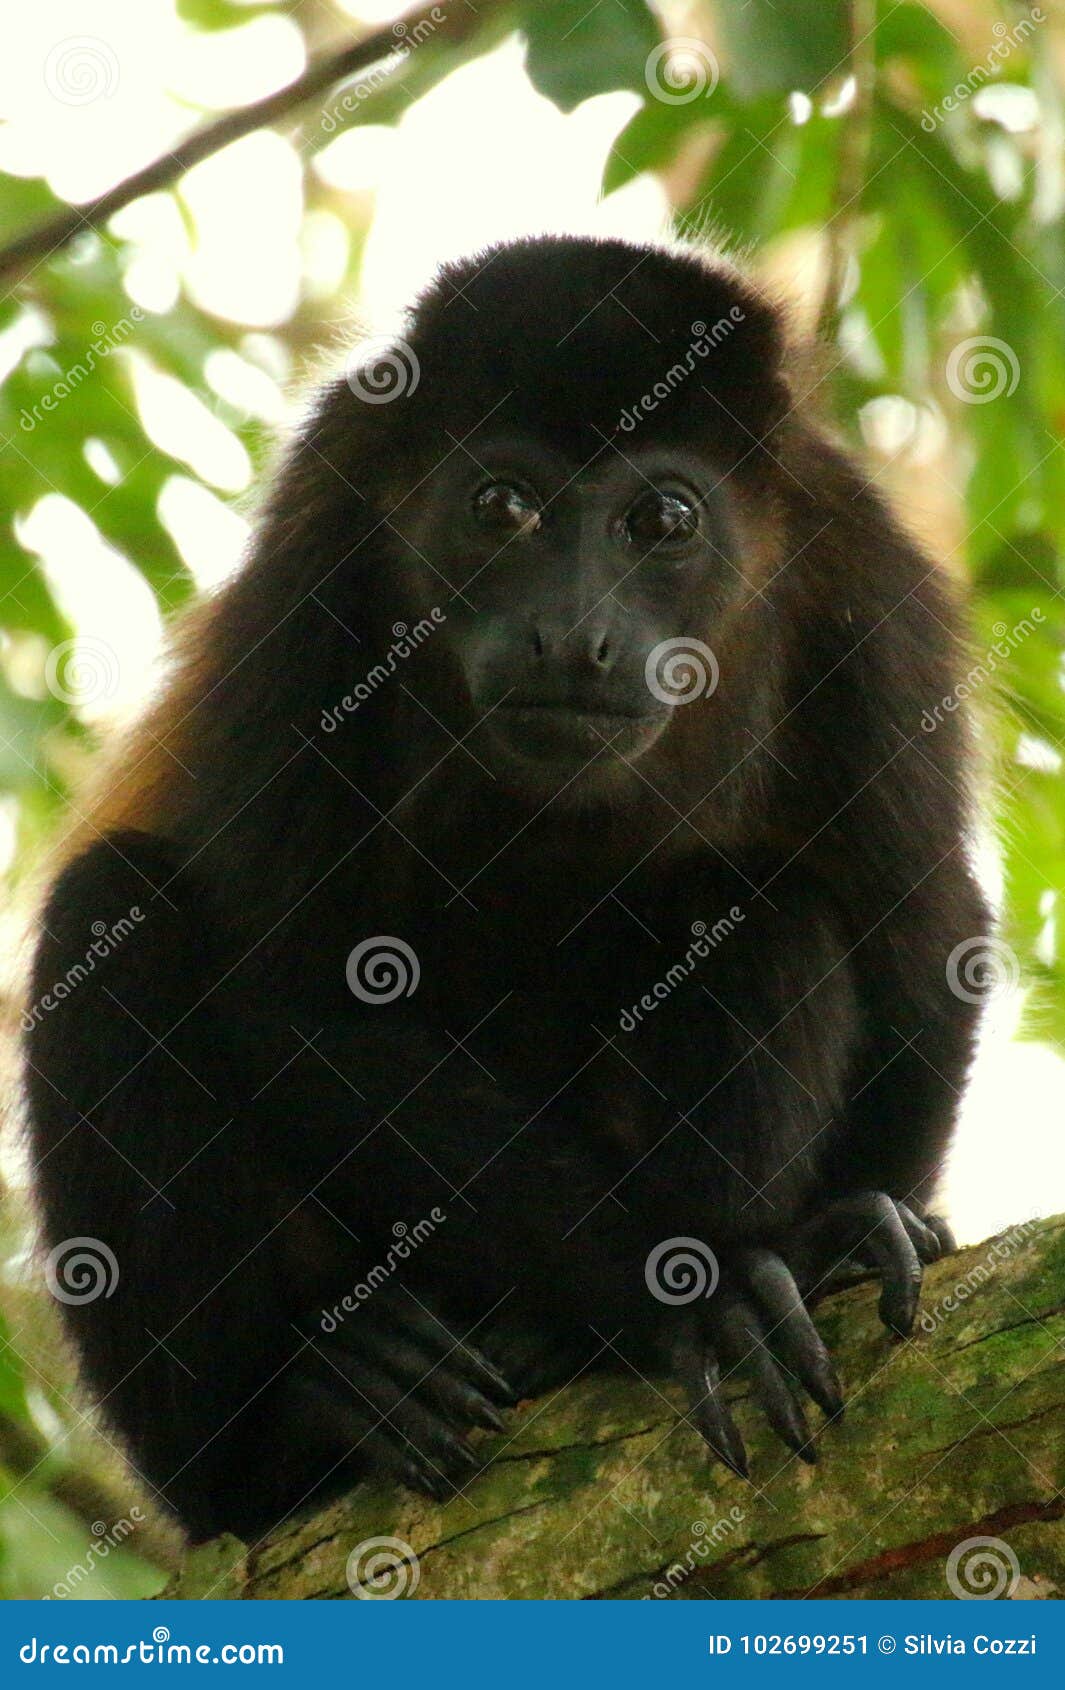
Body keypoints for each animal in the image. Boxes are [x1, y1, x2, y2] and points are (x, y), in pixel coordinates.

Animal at [23, 234, 989, 1542]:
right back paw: (312, 1420)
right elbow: (286, 987)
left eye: (662, 518)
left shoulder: (858, 569)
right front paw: (690, 1288)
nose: (573, 635)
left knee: (757, 902)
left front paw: (836, 1238)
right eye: (502, 506)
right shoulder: (323, 537)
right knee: (110, 915)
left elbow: (925, 935)